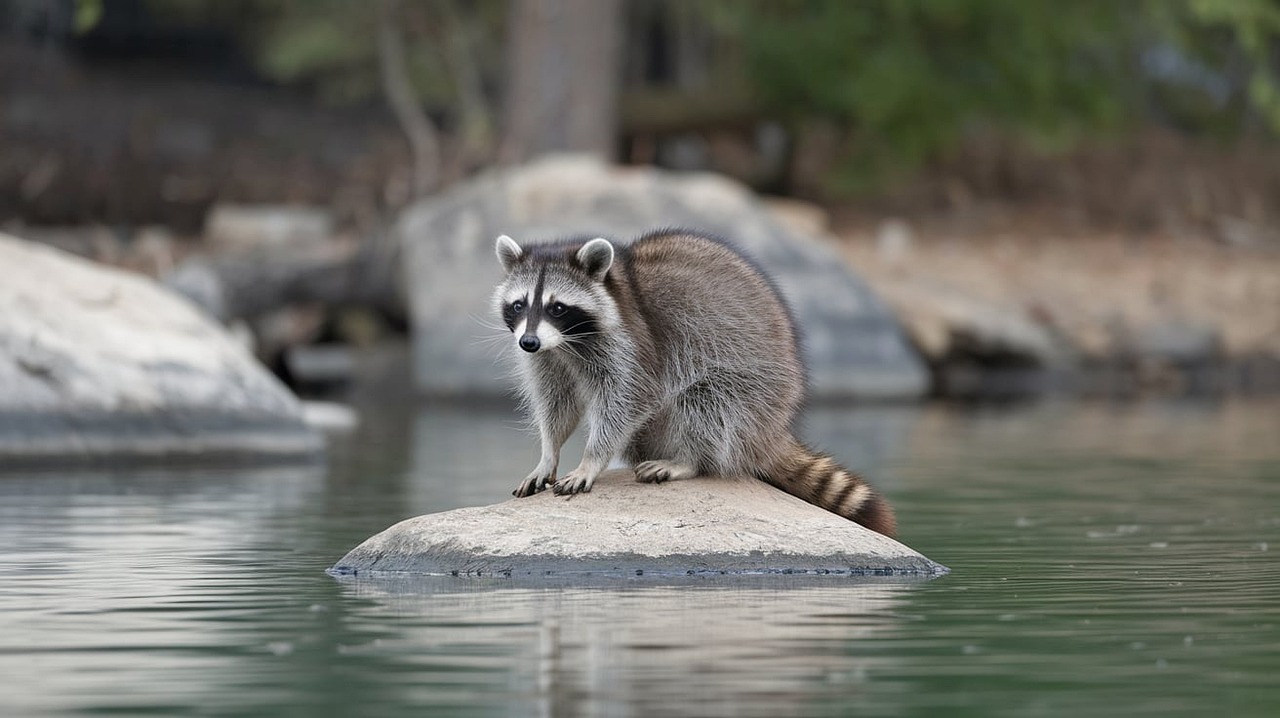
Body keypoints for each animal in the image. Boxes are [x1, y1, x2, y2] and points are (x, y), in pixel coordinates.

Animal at [492, 229, 897, 537]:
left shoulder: (632, 339)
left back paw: (690, 460)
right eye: (519, 304)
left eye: (557, 307)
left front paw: (591, 459)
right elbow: (556, 401)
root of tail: (773, 431)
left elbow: (630, 397)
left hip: (757, 393)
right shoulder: (551, 354)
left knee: (708, 401)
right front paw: (548, 453)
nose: (527, 343)